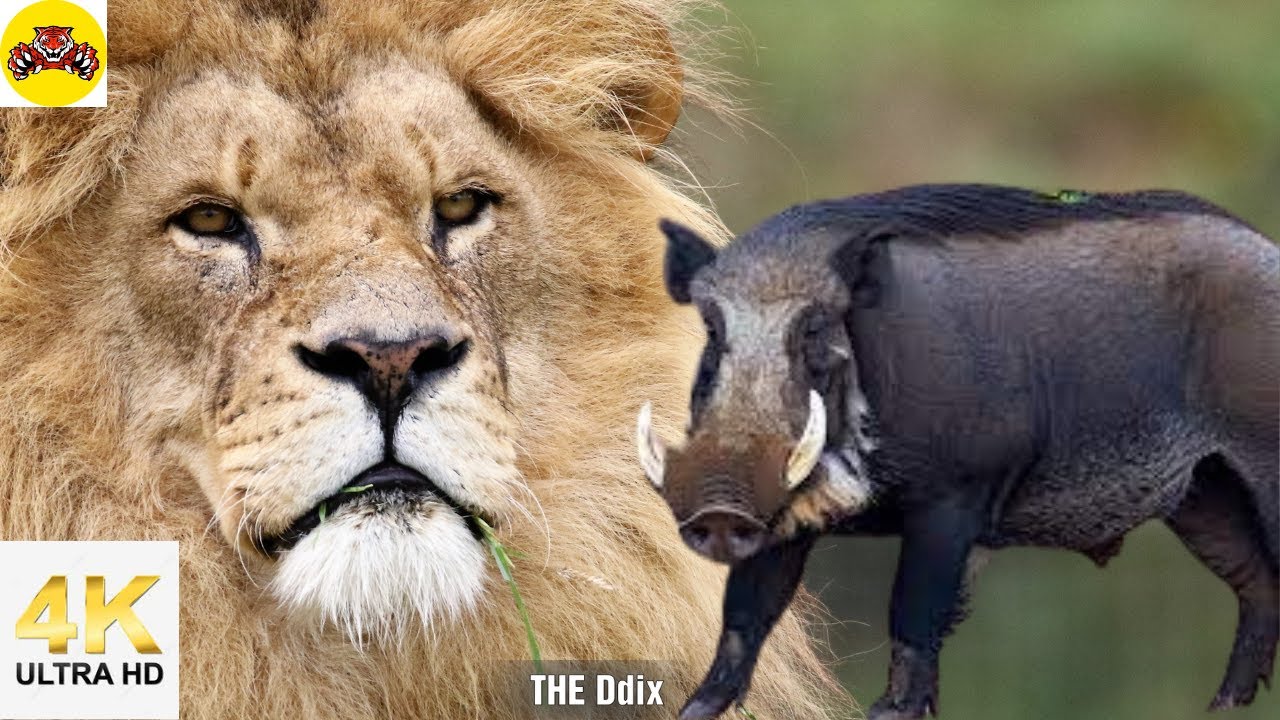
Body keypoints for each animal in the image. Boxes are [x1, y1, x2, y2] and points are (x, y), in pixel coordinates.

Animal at [636, 184, 1279, 719]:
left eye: (815, 328)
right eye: (712, 332)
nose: (720, 513)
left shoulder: (953, 501)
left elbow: (912, 615)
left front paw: (890, 711)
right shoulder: (784, 522)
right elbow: (745, 618)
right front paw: (693, 708)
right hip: (1205, 496)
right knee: (1257, 587)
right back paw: (1220, 708)